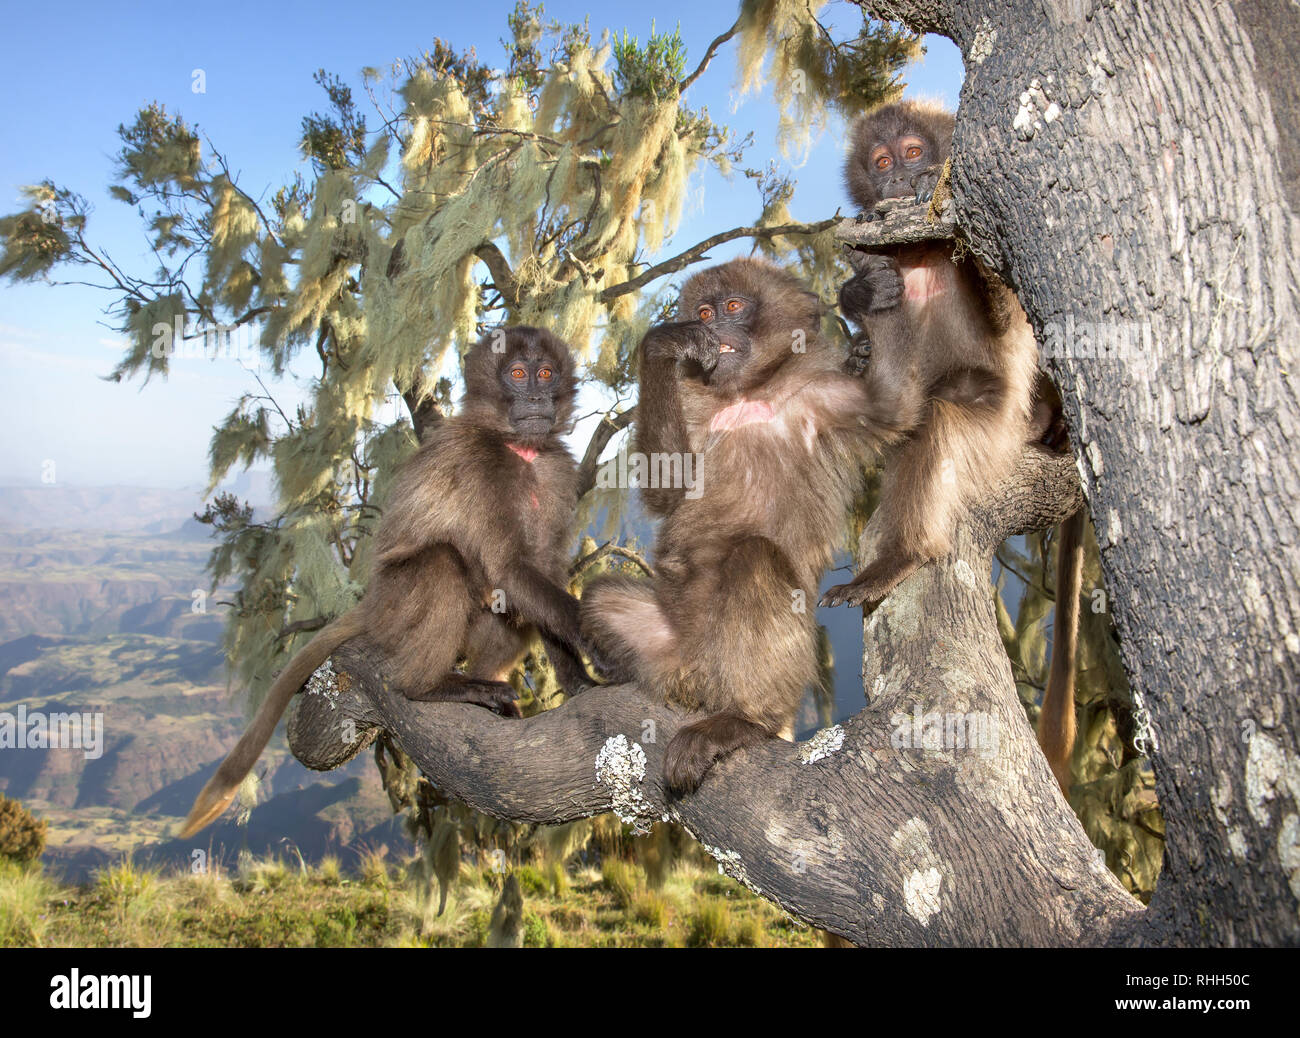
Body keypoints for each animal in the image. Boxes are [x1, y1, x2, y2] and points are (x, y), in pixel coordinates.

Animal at [181, 327, 603, 837]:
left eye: (546, 372)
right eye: (518, 374)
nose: (539, 397)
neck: (520, 448)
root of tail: (370, 601)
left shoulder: (556, 472)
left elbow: (542, 569)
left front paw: (580, 681)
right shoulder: (481, 467)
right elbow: (509, 569)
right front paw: (596, 634)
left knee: (508, 613)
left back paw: (481, 684)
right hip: (396, 606)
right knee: (442, 562)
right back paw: (430, 687)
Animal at [581, 258, 888, 795]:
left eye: (733, 306)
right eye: (704, 313)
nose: (717, 328)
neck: (748, 392)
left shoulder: (829, 398)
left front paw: (863, 306)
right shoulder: (692, 396)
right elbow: (669, 489)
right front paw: (662, 346)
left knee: (754, 558)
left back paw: (746, 720)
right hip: (671, 641)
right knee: (602, 598)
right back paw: (614, 665)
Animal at [820, 99, 1084, 793]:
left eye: (915, 153)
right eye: (881, 161)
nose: (898, 179)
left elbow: (1009, 307)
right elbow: (872, 286)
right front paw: (862, 292)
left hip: (995, 425)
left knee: (939, 418)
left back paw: (903, 556)